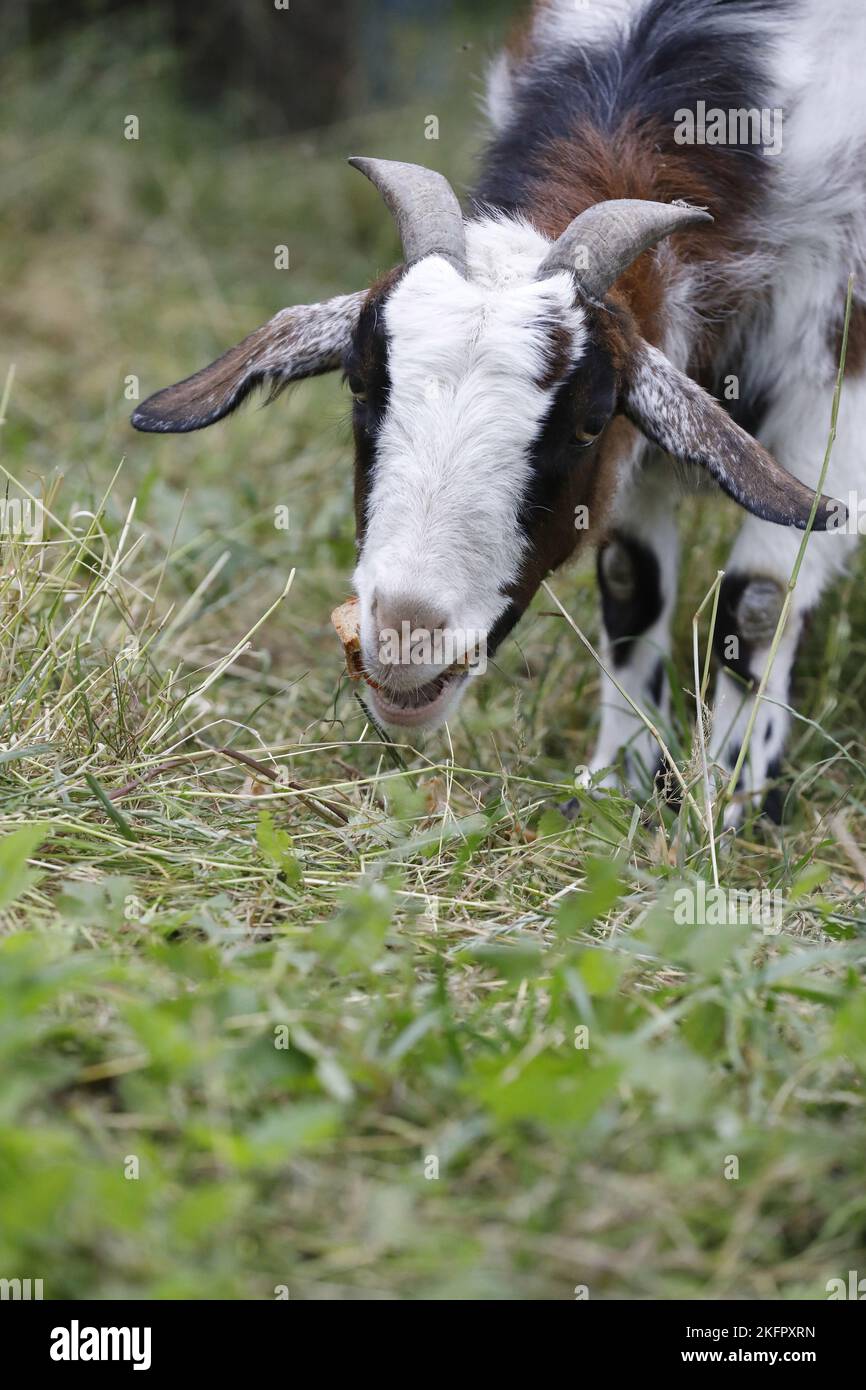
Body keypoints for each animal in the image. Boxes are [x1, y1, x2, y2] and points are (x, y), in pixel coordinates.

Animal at [131, 0, 866, 825]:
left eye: (588, 418)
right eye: (359, 385)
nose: (406, 637)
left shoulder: (838, 372)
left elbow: (759, 599)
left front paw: (737, 799)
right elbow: (632, 583)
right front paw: (618, 781)